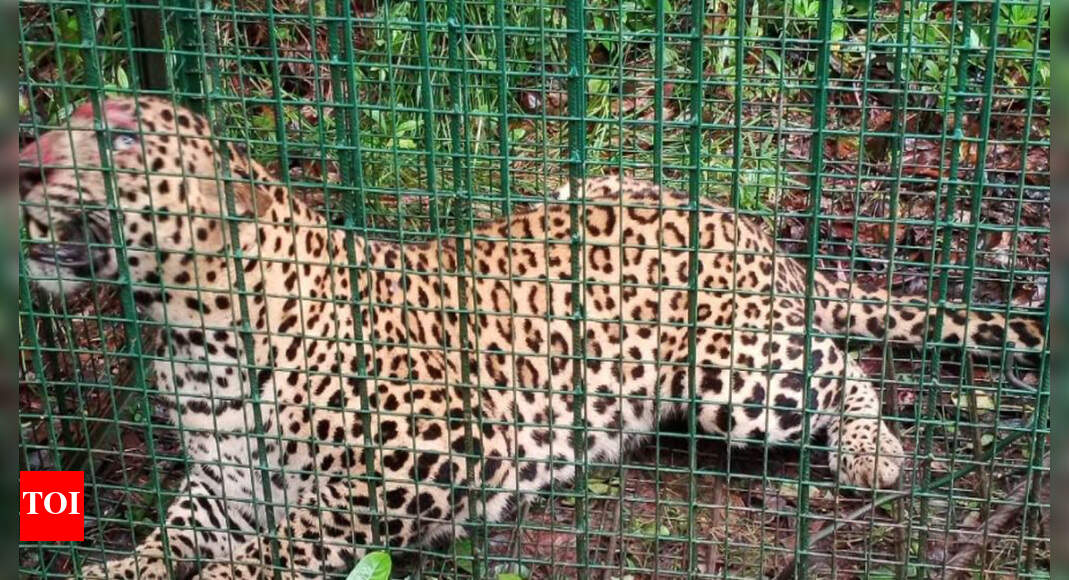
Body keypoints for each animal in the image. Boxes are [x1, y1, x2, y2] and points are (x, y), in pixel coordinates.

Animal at [19, 96, 1046, 579]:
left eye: (117, 137)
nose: (20, 164)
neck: (186, 333)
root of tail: (738, 222)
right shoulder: (225, 483)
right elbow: (168, 540)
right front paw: (114, 568)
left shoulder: (429, 452)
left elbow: (286, 542)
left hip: (738, 375)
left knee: (842, 366)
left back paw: (872, 449)